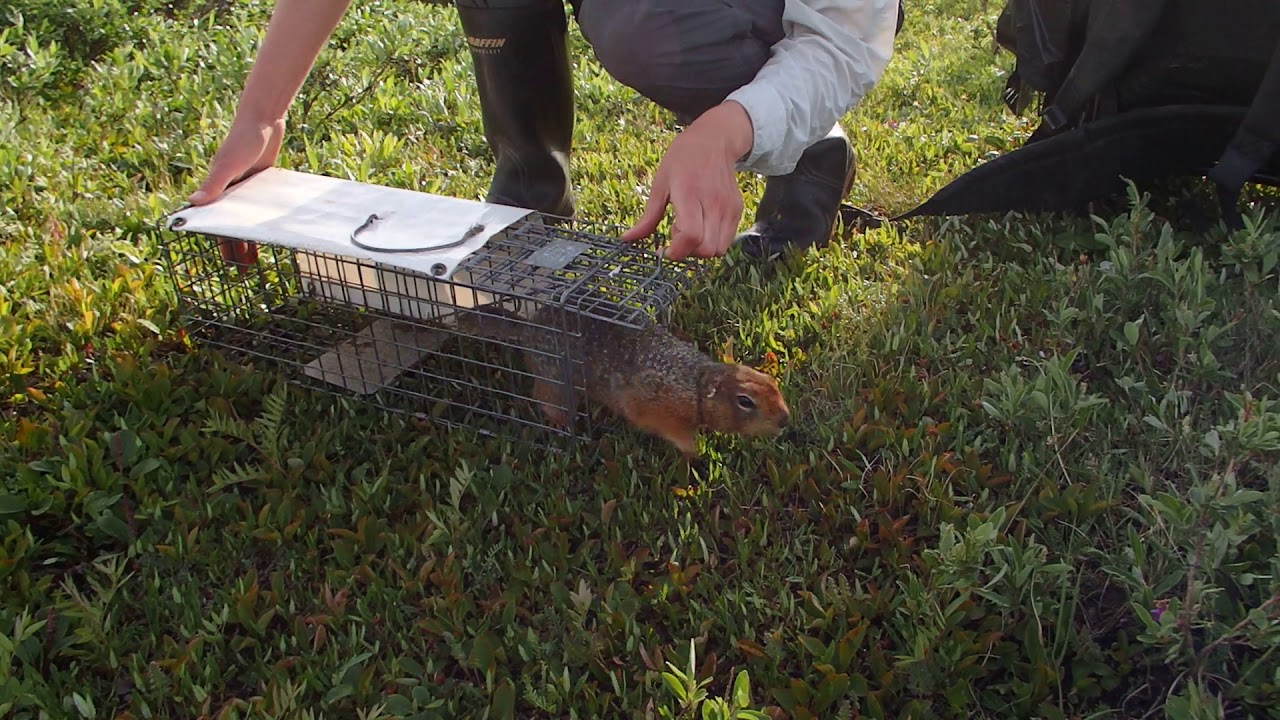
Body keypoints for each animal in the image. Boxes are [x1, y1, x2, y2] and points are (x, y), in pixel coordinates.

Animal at [455, 304, 791, 458]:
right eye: (745, 402)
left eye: (772, 383)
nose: (785, 421)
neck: (694, 381)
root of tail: (527, 328)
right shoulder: (659, 408)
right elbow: (673, 432)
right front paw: (695, 451)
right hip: (555, 382)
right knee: (547, 400)